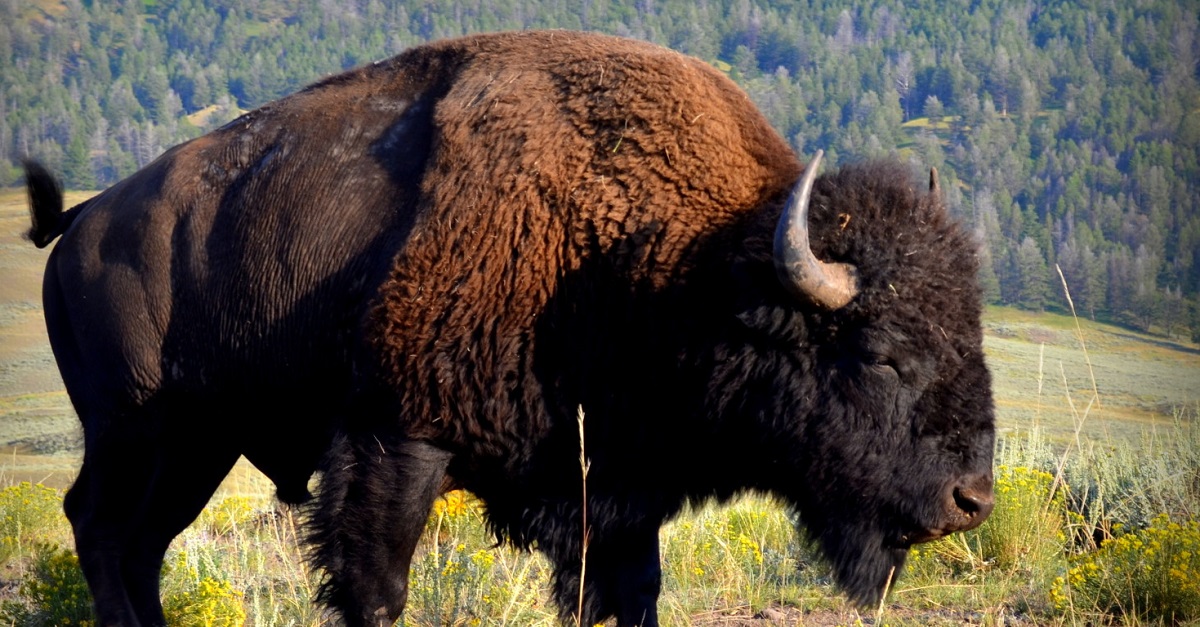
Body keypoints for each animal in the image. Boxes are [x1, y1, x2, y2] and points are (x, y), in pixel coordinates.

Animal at [24, 30, 995, 627]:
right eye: (880, 355)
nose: (971, 499)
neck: (687, 263)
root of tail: (81, 223)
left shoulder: (611, 482)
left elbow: (628, 591)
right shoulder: (399, 435)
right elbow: (375, 584)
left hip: (195, 445)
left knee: (140, 541)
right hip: (133, 431)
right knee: (102, 527)